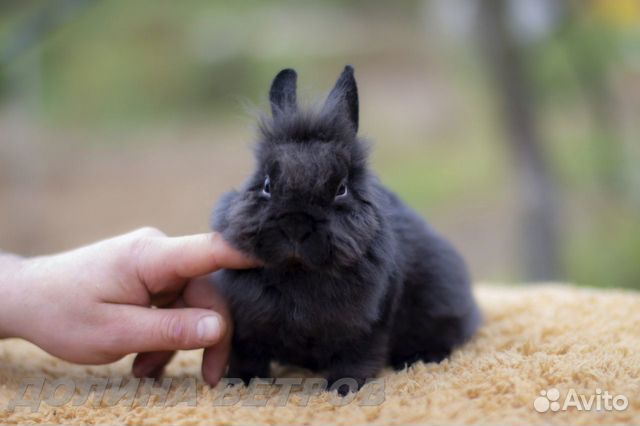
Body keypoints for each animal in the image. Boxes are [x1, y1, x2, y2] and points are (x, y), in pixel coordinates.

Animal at [211, 66, 481, 394]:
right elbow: (247, 357)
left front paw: (342, 389)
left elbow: (356, 359)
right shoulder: (246, 327)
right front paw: (240, 384)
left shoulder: (366, 327)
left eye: (341, 189)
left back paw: (421, 358)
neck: (299, 272)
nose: (296, 225)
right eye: (266, 185)